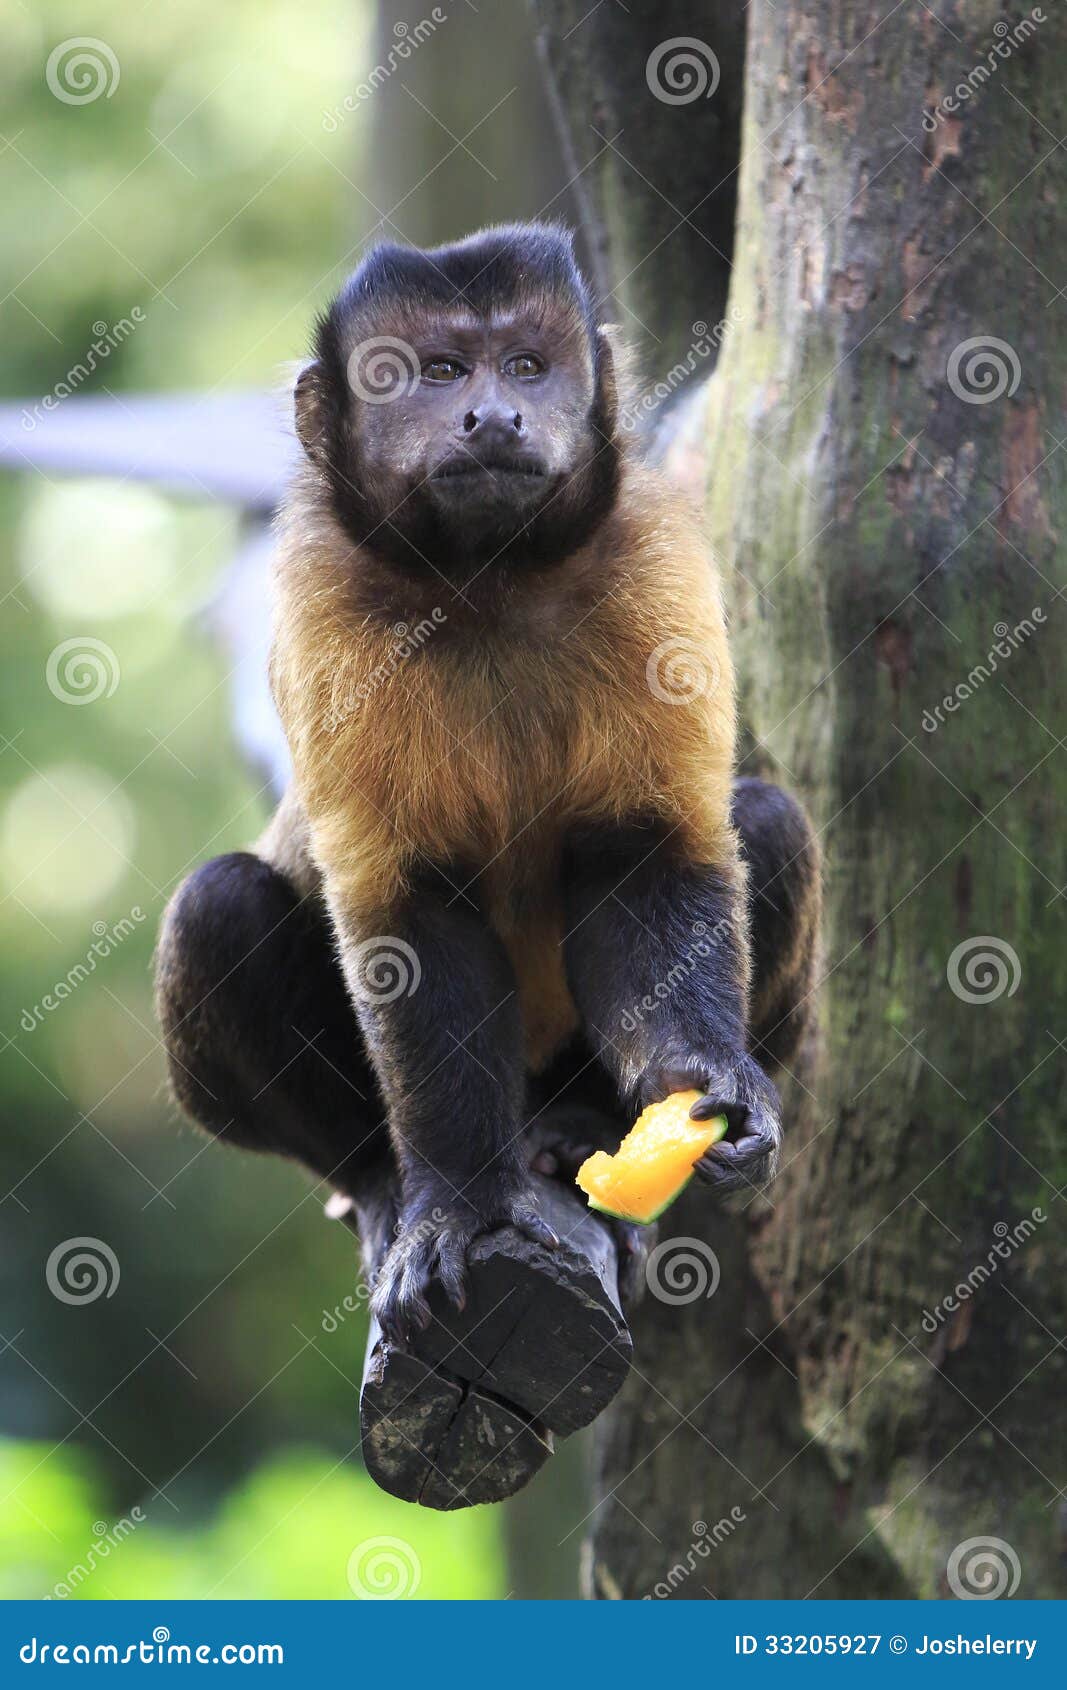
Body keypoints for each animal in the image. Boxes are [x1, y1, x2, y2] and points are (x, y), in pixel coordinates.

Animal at [155, 222, 820, 1353]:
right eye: (435, 373)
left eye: (523, 366)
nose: (495, 415)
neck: (488, 581)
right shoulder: (321, 596)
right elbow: (406, 916)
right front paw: (458, 1202)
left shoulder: (651, 553)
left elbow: (647, 854)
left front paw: (701, 1084)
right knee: (216, 905)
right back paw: (379, 1181)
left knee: (764, 821)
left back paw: (583, 1124)